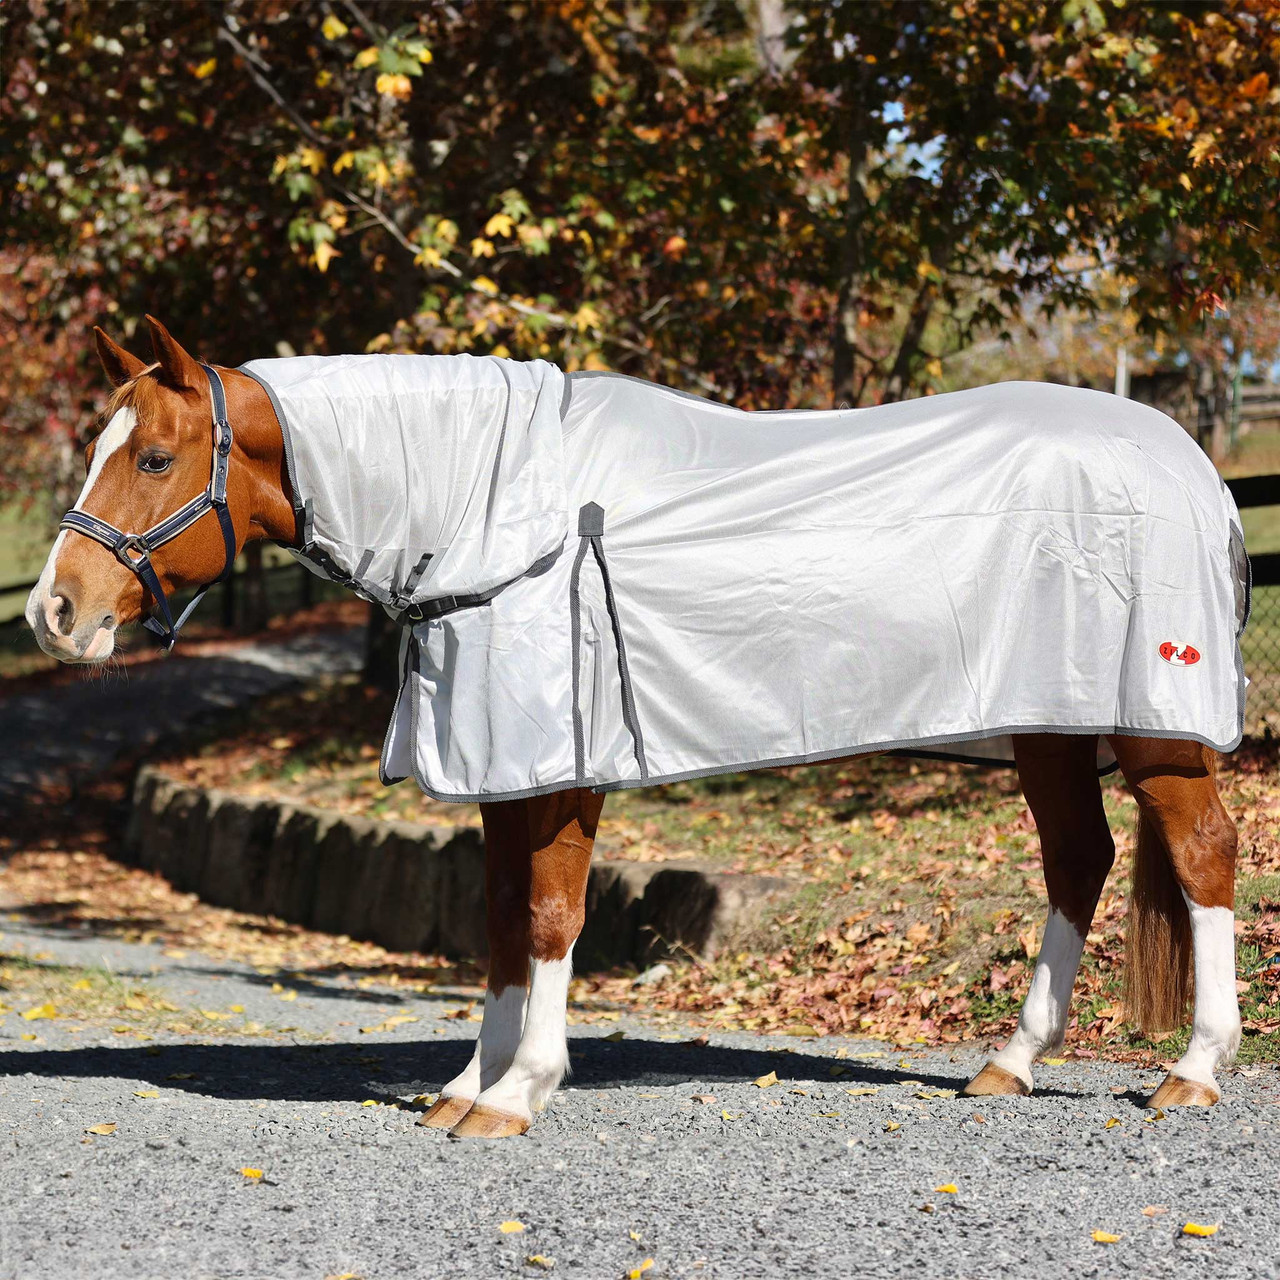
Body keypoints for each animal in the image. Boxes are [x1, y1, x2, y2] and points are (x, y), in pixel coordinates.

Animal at [26, 317, 1243, 1139]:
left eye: (153, 458)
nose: (54, 611)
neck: (495, 506)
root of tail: (1190, 463)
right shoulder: (503, 770)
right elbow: (498, 920)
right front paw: (465, 1085)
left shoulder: (560, 773)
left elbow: (551, 918)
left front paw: (517, 1094)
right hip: (1050, 722)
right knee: (1077, 859)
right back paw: (1011, 1062)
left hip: (1157, 731)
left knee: (1200, 855)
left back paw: (1192, 1070)